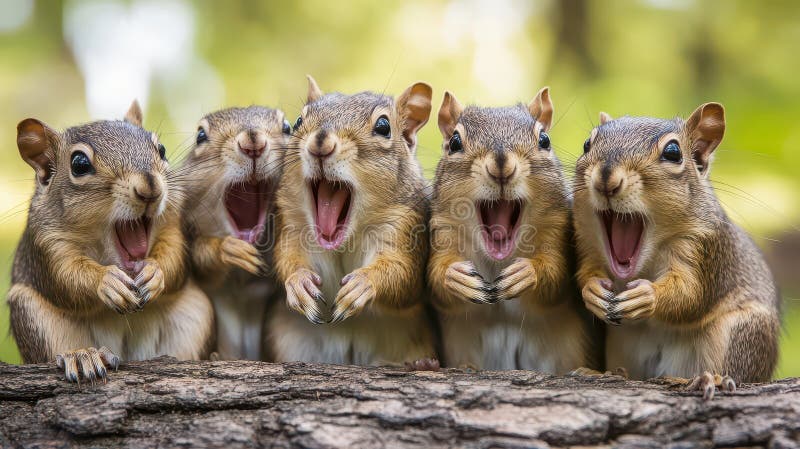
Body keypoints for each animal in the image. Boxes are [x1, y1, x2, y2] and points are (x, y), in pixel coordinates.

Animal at [7, 101, 215, 383]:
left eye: (161, 150)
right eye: (79, 164)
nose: (150, 187)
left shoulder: (174, 224)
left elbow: (176, 258)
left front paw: (155, 273)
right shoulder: (46, 244)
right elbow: (65, 277)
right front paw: (106, 281)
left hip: (195, 312)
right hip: (30, 311)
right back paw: (81, 355)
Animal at [266, 76, 437, 365]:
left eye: (383, 126)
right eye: (298, 121)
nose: (320, 142)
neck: (344, 241)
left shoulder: (405, 227)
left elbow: (403, 275)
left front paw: (363, 283)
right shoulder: (292, 227)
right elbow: (287, 259)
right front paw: (298, 281)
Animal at [428, 88, 598, 372]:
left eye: (544, 140)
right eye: (454, 143)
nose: (501, 165)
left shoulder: (556, 230)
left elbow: (557, 278)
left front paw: (527, 273)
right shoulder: (443, 231)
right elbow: (436, 283)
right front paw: (455, 277)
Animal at [573, 104, 781, 399]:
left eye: (673, 152)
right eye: (586, 144)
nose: (606, 178)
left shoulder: (704, 248)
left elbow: (691, 296)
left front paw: (647, 296)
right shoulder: (588, 241)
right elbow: (586, 273)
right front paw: (591, 290)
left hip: (742, 331)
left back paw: (710, 378)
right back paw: (608, 373)